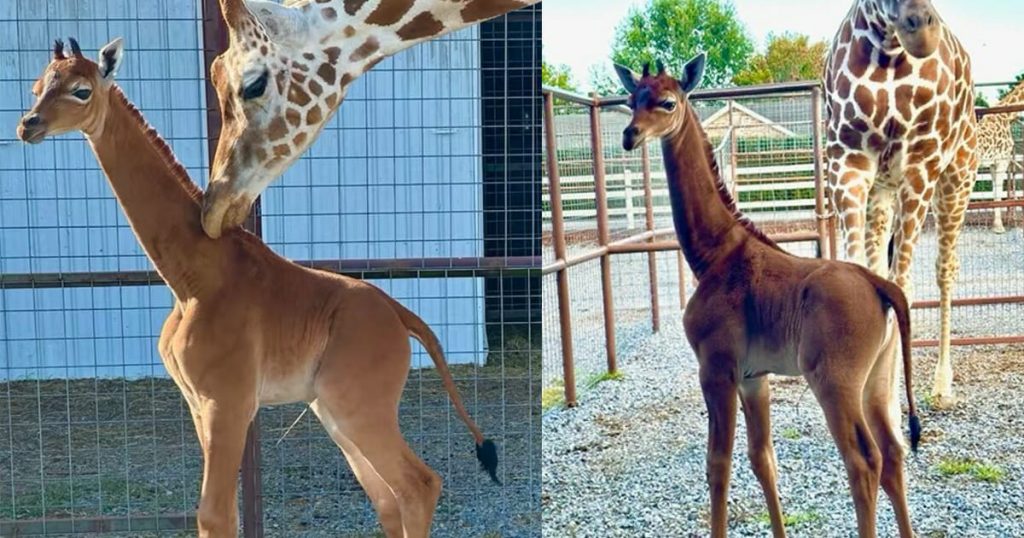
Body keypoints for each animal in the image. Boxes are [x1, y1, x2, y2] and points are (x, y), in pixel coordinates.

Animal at [17, 37, 499, 538]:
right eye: (36, 87)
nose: (28, 125)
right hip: (332, 410)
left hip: (357, 405)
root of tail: (402, 316)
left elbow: (213, 513)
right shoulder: (199, 404)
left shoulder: (227, 401)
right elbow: (225, 514)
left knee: (418, 484)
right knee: (389, 498)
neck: (191, 277)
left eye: (81, 90)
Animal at [615, 55, 920, 538]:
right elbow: (763, 460)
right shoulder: (753, 377)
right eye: (631, 100)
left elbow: (718, 465)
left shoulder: (716, 369)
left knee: (864, 461)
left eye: (667, 102)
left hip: (835, 382)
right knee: (893, 455)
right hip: (878, 380)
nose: (631, 135)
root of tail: (882, 286)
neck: (714, 253)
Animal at [824, 0, 978, 412]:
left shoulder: (920, 165)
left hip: (957, 178)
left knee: (945, 269)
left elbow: (902, 285)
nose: (920, 29)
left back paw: (942, 386)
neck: (889, 54)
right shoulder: (848, 162)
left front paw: (890, 407)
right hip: (882, 192)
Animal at [977, 78, 1024, 233]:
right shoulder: (1002, 160)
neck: (1006, 116)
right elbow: (998, 191)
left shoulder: (993, 163)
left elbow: (994, 191)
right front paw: (998, 226)